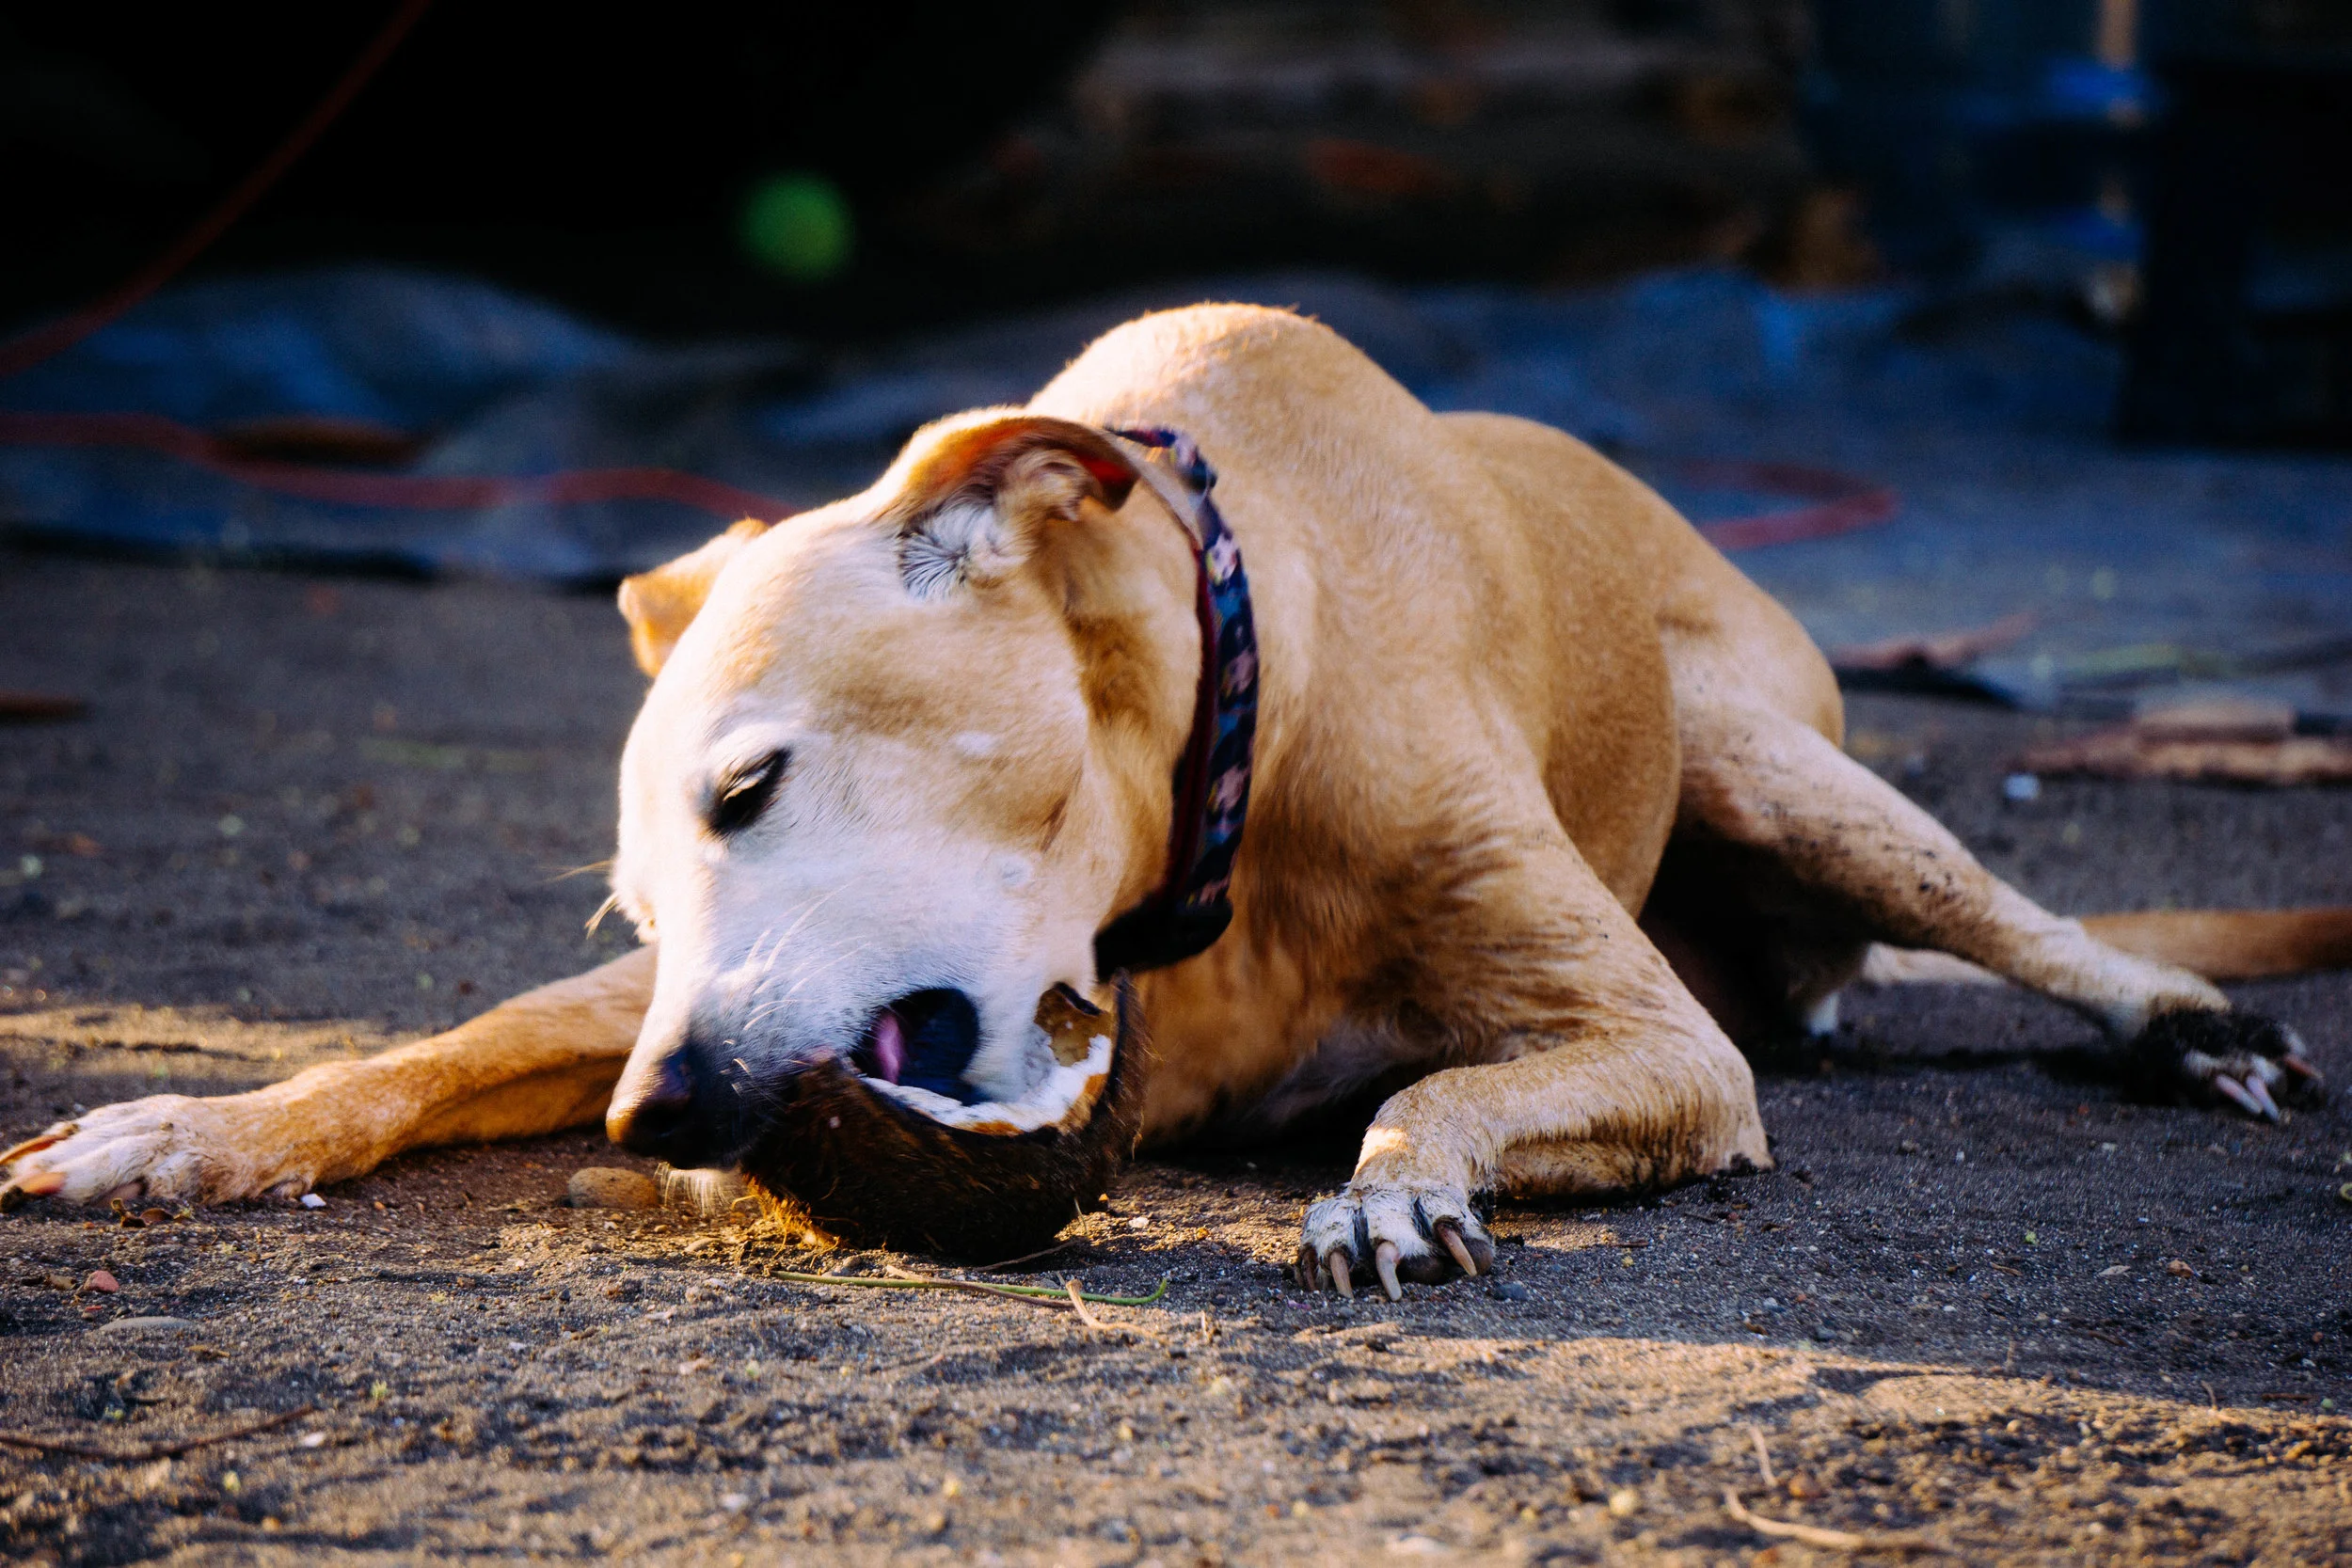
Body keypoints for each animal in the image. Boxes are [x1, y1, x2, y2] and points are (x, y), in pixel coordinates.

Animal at [0, 305, 2333, 1297]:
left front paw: (1392, 1183)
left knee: (2038, 928)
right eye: (636, 899)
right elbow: (435, 1040)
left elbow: (1443, 1083)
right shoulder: (686, 1017)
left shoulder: (1657, 1047)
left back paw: (2190, 1026)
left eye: (753, 781)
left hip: (1781, 763)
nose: (656, 1121)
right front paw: (182, 1130)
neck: (1214, 744)